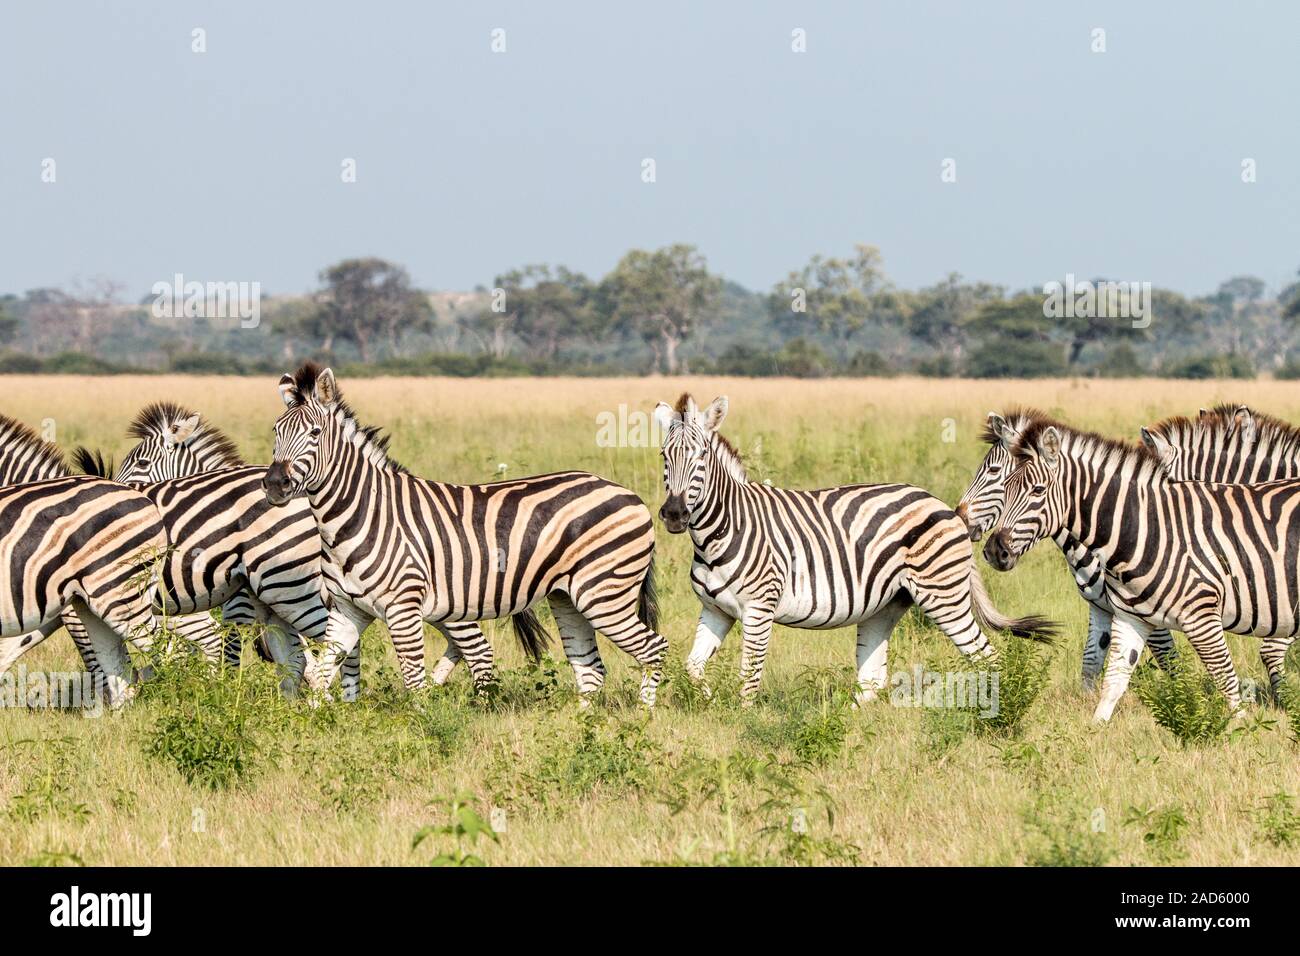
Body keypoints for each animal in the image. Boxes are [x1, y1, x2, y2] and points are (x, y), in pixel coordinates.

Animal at [264, 362, 667, 704]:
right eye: (276, 432)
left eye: (315, 433)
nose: (273, 484)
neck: (358, 515)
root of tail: (629, 493)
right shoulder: (349, 610)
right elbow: (322, 673)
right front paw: (320, 724)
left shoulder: (403, 608)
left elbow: (414, 682)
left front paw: (420, 732)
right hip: (568, 598)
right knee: (591, 669)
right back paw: (583, 729)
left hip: (604, 594)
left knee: (654, 649)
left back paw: (643, 717)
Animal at [654, 394, 1056, 704]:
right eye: (663, 456)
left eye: (701, 457)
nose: (674, 515)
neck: (720, 532)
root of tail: (944, 507)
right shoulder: (715, 611)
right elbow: (692, 667)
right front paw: (707, 699)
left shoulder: (758, 609)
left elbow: (748, 679)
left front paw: (744, 722)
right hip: (886, 605)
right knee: (872, 683)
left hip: (944, 598)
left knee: (987, 658)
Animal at [985, 416, 1300, 722]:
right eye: (1005, 489)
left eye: (1037, 491)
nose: (993, 551)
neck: (1146, 531)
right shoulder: (1130, 618)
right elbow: (1113, 683)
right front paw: (1095, 732)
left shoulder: (1202, 616)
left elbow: (1226, 682)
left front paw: (1240, 728)